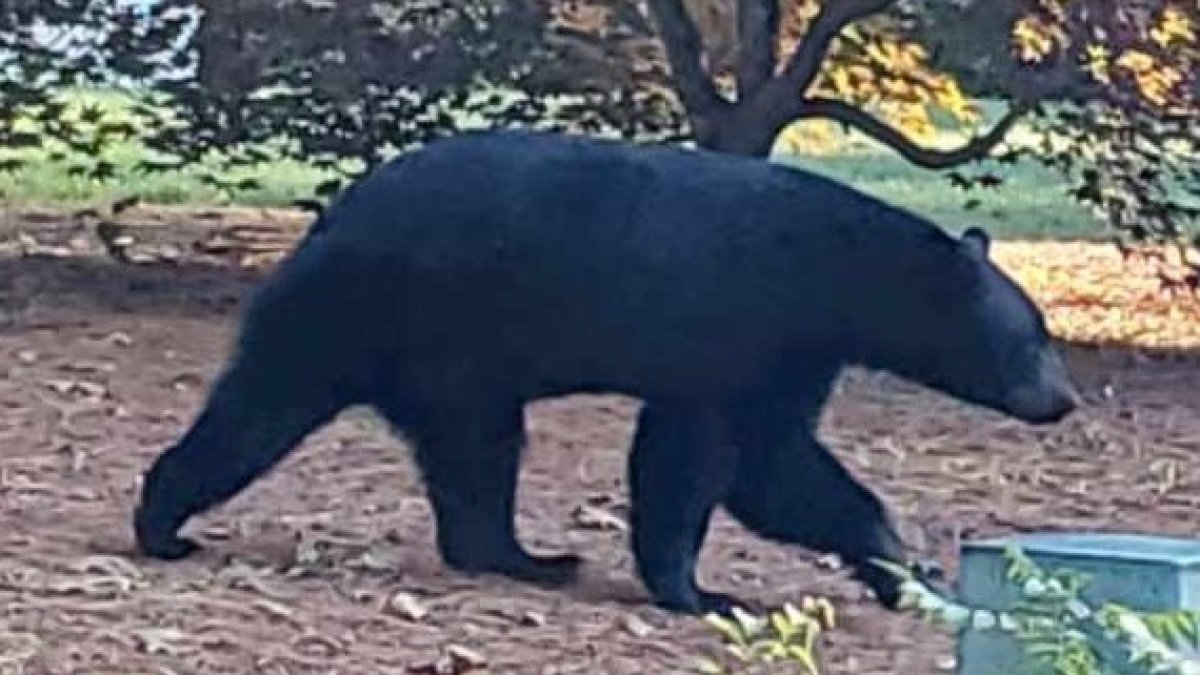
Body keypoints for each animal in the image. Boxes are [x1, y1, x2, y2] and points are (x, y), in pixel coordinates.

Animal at [133, 130, 1080, 615]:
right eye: (1034, 336)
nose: (1065, 399)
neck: (834, 275)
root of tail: (330, 218)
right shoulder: (736, 321)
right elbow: (710, 460)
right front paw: (705, 590)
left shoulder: (794, 353)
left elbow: (776, 464)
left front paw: (906, 571)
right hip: (380, 311)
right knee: (263, 406)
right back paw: (162, 521)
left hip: (450, 355)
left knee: (473, 456)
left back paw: (528, 556)